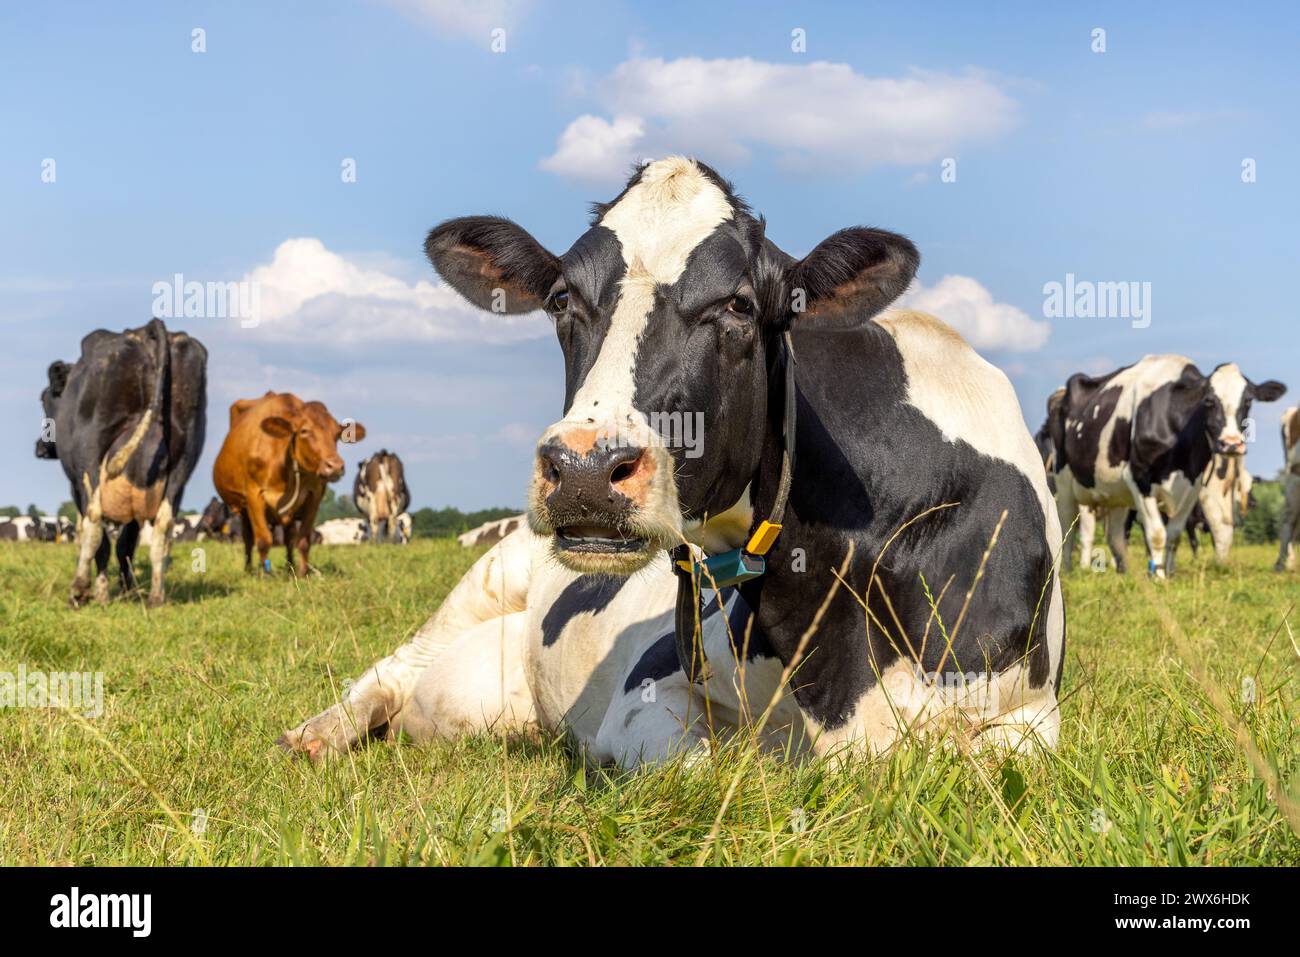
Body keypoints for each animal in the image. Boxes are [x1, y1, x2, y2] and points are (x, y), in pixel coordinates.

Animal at [35, 319, 207, 606]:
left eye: (46, 401)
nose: (40, 447)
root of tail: (147, 329)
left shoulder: (77, 486)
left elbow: (97, 539)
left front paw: (102, 592)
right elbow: (127, 544)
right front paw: (128, 588)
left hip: (91, 457)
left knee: (94, 523)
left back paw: (79, 590)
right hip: (182, 462)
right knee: (163, 527)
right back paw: (155, 596)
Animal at [212, 391, 364, 576]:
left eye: (337, 434)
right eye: (304, 431)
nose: (335, 466)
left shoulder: (314, 497)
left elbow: (304, 540)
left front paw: (302, 573)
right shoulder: (254, 495)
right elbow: (263, 539)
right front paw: (266, 575)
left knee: (289, 537)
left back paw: (289, 566)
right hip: (242, 509)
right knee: (248, 538)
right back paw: (249, 569)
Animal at [280, 157, 1064, 767]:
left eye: (741, 305)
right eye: (561, 298)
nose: (585, 469)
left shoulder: (1031, 719)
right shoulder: (648, 691)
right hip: (491, 572)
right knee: (395, 667)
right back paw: (318, 733)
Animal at [1049, 356, 1285, 578]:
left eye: (1248, 400)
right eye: (1209, 401)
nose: (1231, 444)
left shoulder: (1192, 485)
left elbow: (1174, 535)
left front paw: (1170, 573)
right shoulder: (1139, 479)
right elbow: (1156, 534)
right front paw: (1159, 576)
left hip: (1115, 492)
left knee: (1115, 535)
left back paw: (1123, 572)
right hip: (1065, 482)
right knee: (1067, 527)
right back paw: (1067, 570)